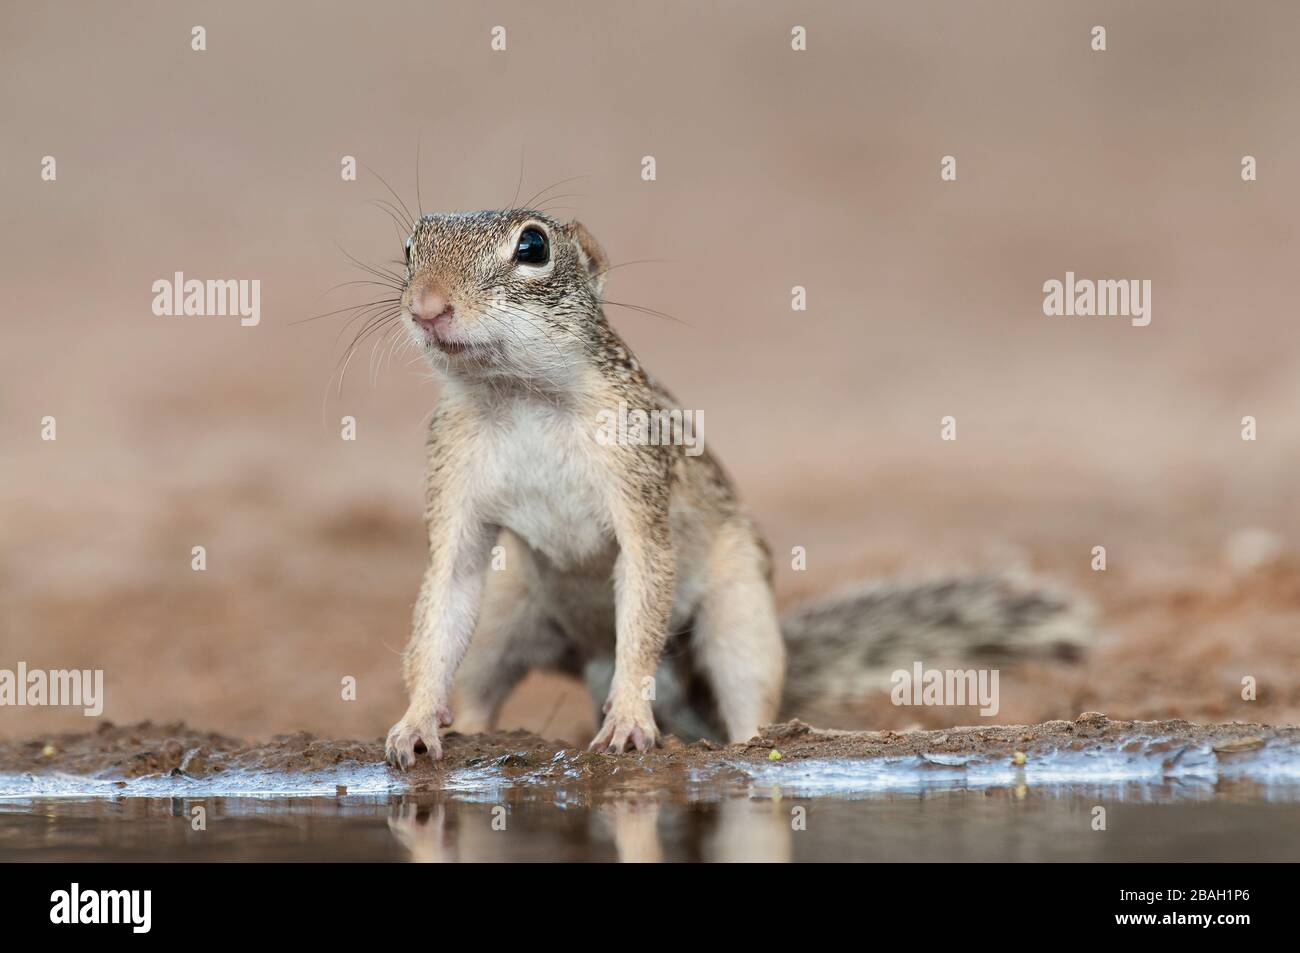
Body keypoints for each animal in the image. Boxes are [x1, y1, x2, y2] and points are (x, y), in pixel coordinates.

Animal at [381, 209, 1089, 768]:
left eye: (532, 247)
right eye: (410, 248)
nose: (427, 307)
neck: (519, 396)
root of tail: (589, 656)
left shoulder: (637, 474)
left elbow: (644, 584)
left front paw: (629, 720)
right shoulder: (453, 477)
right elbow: (442, 599)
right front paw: (413, 723)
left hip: (740, 612)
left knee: (745, 693)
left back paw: (751, 742)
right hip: (507, 612)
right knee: (477, 682)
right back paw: (463, 729)